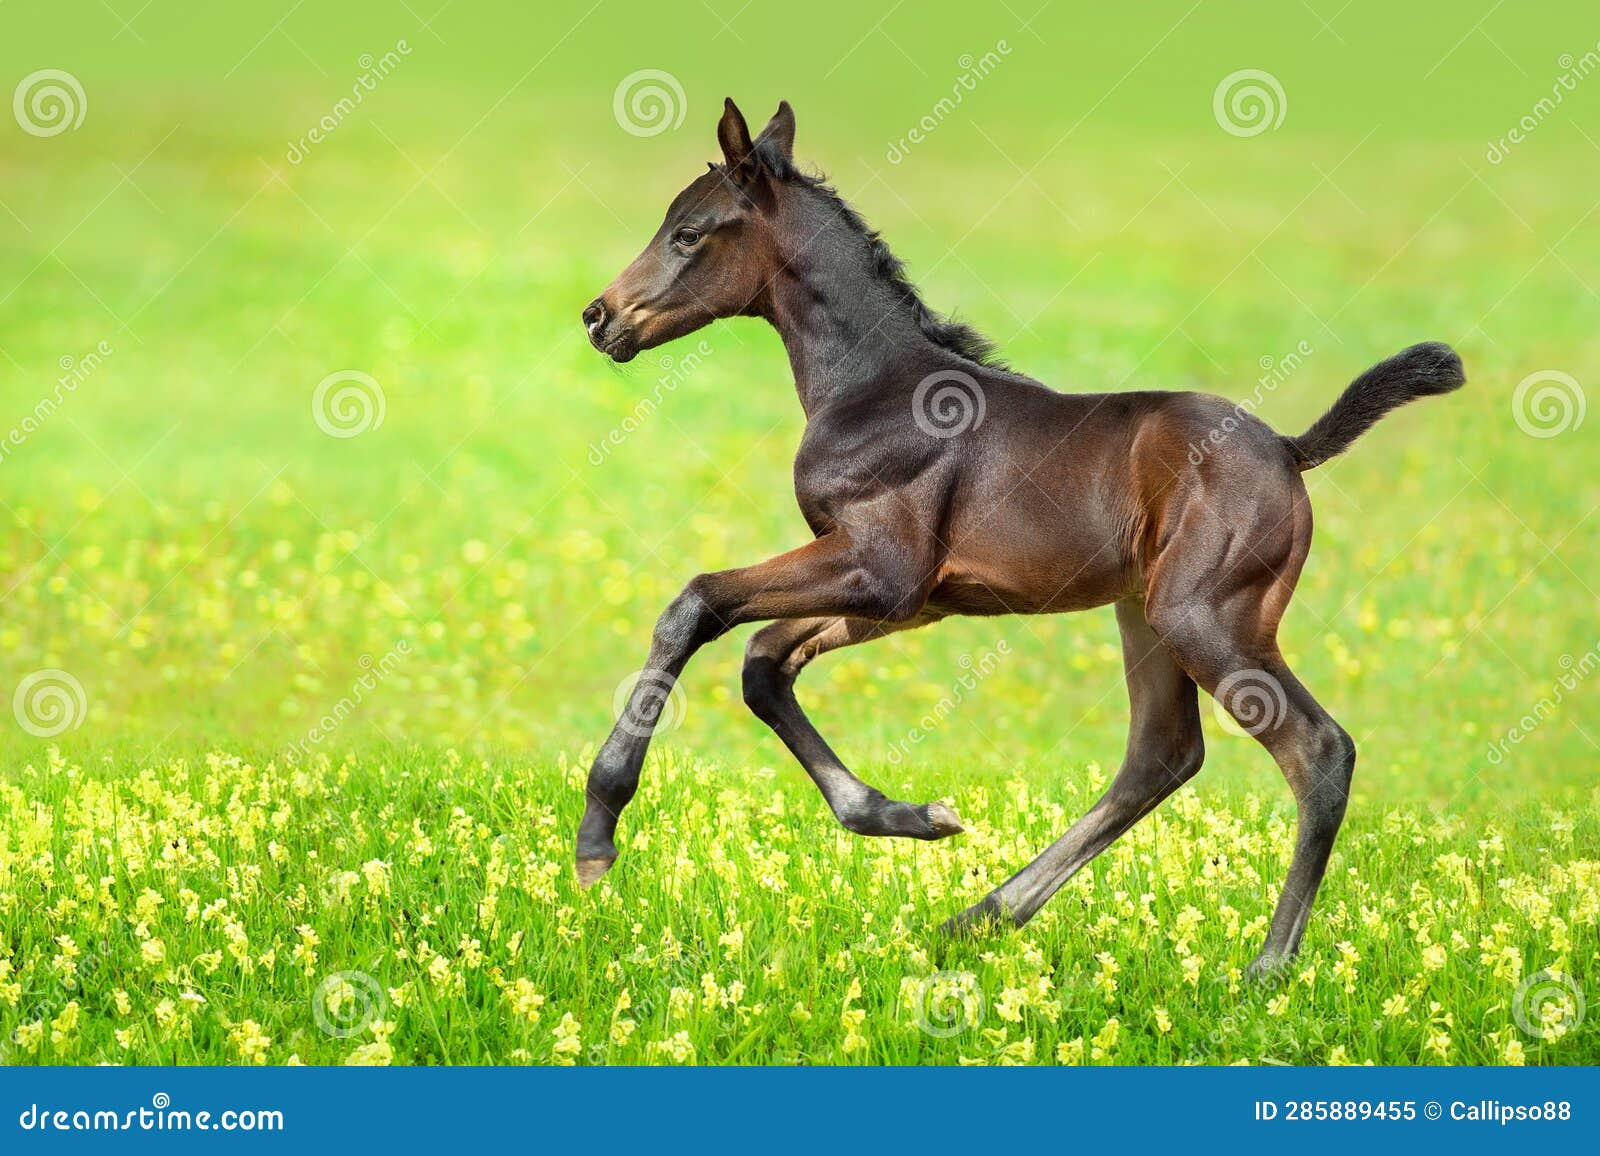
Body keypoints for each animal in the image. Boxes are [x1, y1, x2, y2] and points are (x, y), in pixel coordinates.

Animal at [576, 98, 1464, 973]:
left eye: (689, 232)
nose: (598, 317)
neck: (874, 387)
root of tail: (1288, 447)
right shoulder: (911, 600)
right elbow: (763, 665)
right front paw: (909, 816)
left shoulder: (882, 569)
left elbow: (695, 604)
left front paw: (597, 832)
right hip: (1145, 613)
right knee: (1161, 754)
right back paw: (980, 917)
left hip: (1203, 615)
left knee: (1317, 750)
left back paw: (1268, 966)